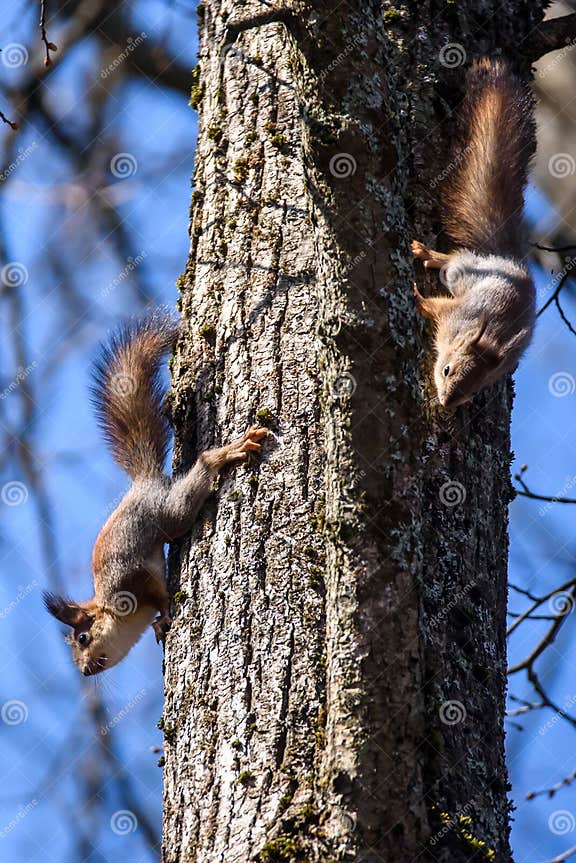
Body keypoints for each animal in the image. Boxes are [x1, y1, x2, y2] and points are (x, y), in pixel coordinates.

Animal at [44, 314, 267, 675]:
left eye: (83, 638)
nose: (84, 670)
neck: (115, 610)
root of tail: (143, 483)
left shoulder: (133, 582)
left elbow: (160, 594)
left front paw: (163, 616)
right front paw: (158, 626)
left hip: (169, 513)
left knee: (197, 479)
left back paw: (225, 454)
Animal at [411, 57, 537, 410]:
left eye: (472, 391)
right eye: (448, 370)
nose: (445, 403)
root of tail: (508, 259)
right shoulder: (454, 313)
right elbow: (435, 307)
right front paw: (418, 298)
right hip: (462, 273)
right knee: (454, 258)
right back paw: (429, 254)